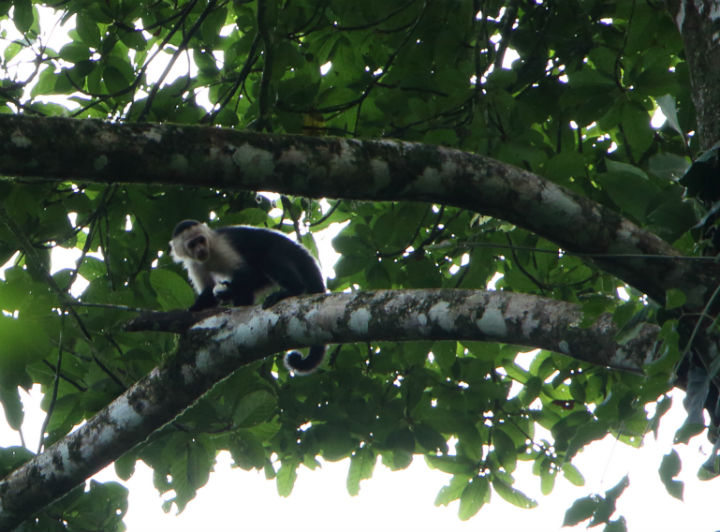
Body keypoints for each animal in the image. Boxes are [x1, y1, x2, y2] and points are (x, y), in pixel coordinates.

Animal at [169, 219, 326, 374]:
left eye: (201, 240)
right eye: (192, 244)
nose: (201, 250)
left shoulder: (221, 246)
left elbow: (248, 274)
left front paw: (225, 292)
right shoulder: (194, 264)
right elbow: (208, 291)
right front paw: (195, 308)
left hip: (282, 250)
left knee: (268, 259)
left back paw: (291, 290)